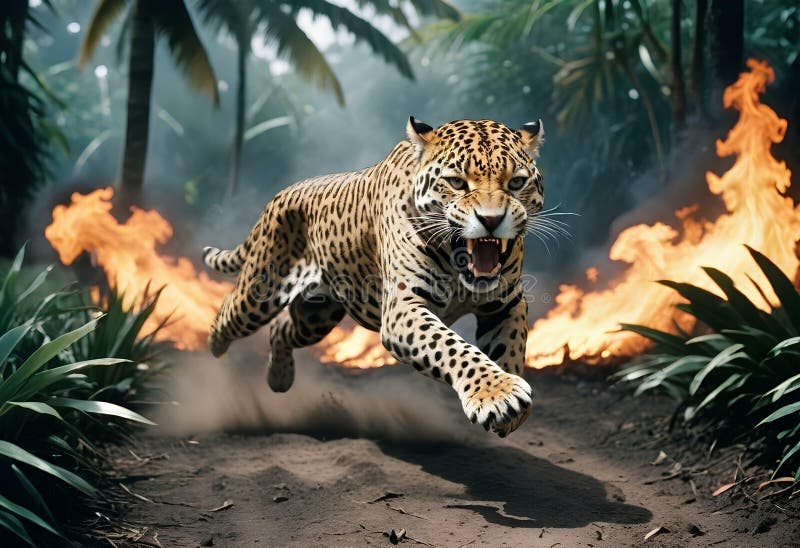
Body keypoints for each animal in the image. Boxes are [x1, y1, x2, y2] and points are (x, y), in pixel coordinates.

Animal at [203, 117, 545, 437]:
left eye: (516, 182)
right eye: (457, 183)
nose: (491, 220)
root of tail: (281, 194)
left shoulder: (507, 303)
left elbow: (510, 347)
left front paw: (507, 395)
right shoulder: (403, 308)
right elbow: (453, 348)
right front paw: (499, 394)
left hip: (317, 316)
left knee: (281, 329)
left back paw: (279, 379)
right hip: (261, 289)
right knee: (230, 313)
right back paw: (214, 349)